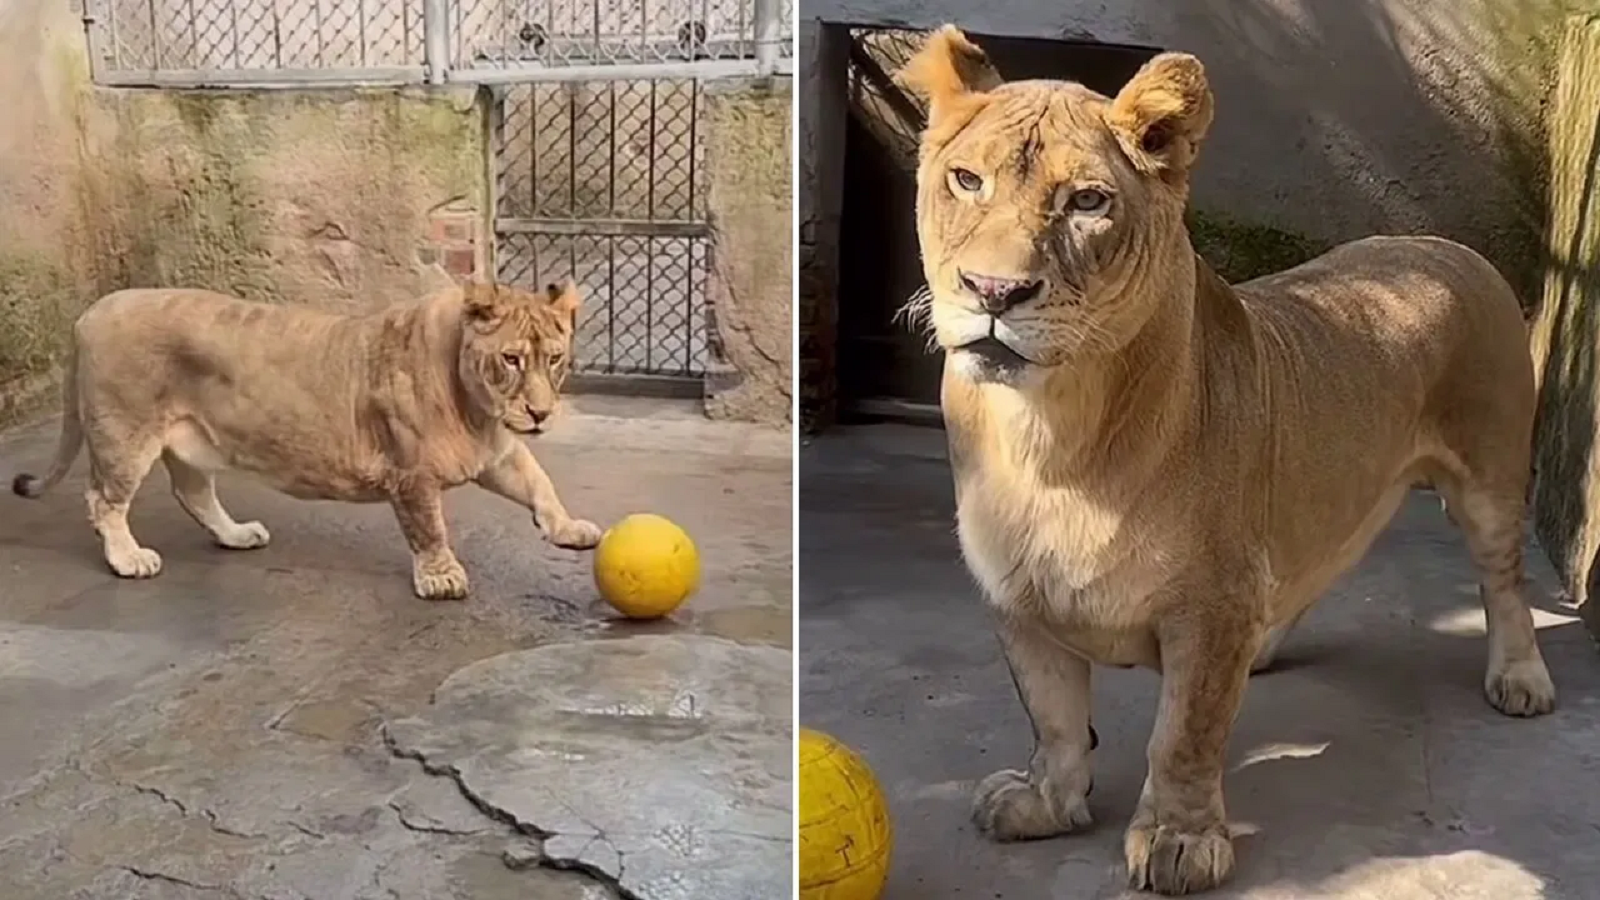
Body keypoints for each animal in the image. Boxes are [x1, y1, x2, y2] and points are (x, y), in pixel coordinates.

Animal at [10, 280, 602, 601]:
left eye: (554, 358)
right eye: (511, 359)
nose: (541, 412)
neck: (479, 411)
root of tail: (89, 312)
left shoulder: (496, 453)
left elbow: (541, 484)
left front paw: (571, 529)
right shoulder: (410, 472)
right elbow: (428, 527)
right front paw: (440, 577)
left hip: (191, 441)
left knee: (193, 494)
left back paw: (237, 535)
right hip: (125, 434)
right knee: (103, 499)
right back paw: (128, 558)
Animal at [897, 26, 1556, 895]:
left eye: (1088, 203)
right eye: (966, 181)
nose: (994, 291)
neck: (1048, 434)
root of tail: (1443, 243)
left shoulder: (1209, 608)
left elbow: (1184, 732)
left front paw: (1180, 839)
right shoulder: (1014, 592)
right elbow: (1053, 714)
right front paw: (1046, 801)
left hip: (1490, 473)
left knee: (1503, 580)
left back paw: (1521, 677)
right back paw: (1270, 644)